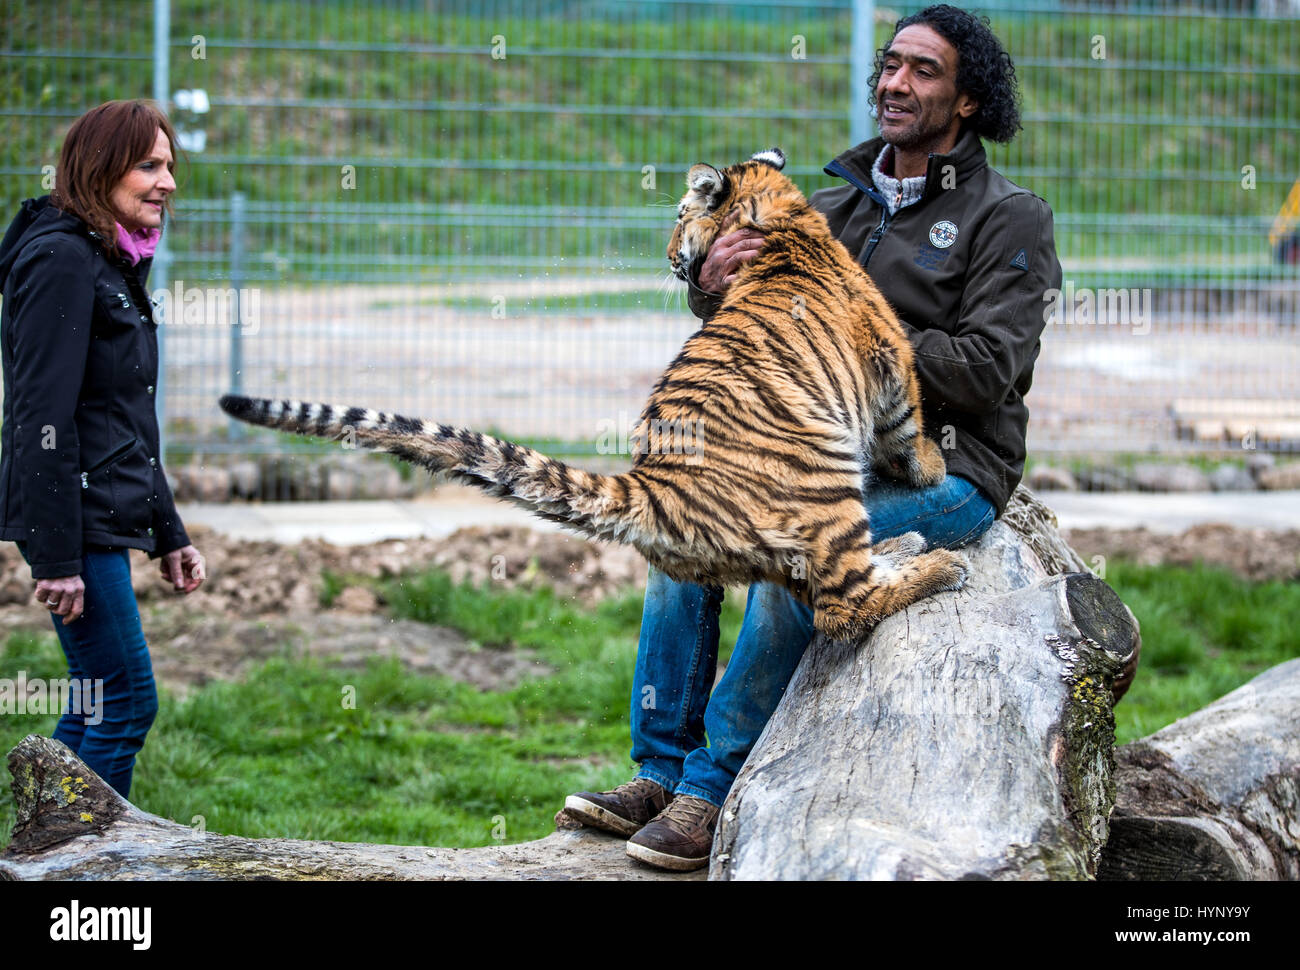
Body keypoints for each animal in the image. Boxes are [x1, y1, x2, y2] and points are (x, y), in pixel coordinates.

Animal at [219, 148, 967, 639]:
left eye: (679, 214)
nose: (666, 255)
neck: (780, 221)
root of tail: (656, 484)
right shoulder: (889, 352)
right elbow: (908, 420)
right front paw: (934, 465)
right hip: (827, 485)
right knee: (843, 607)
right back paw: (938, 565)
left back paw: (908, 548)